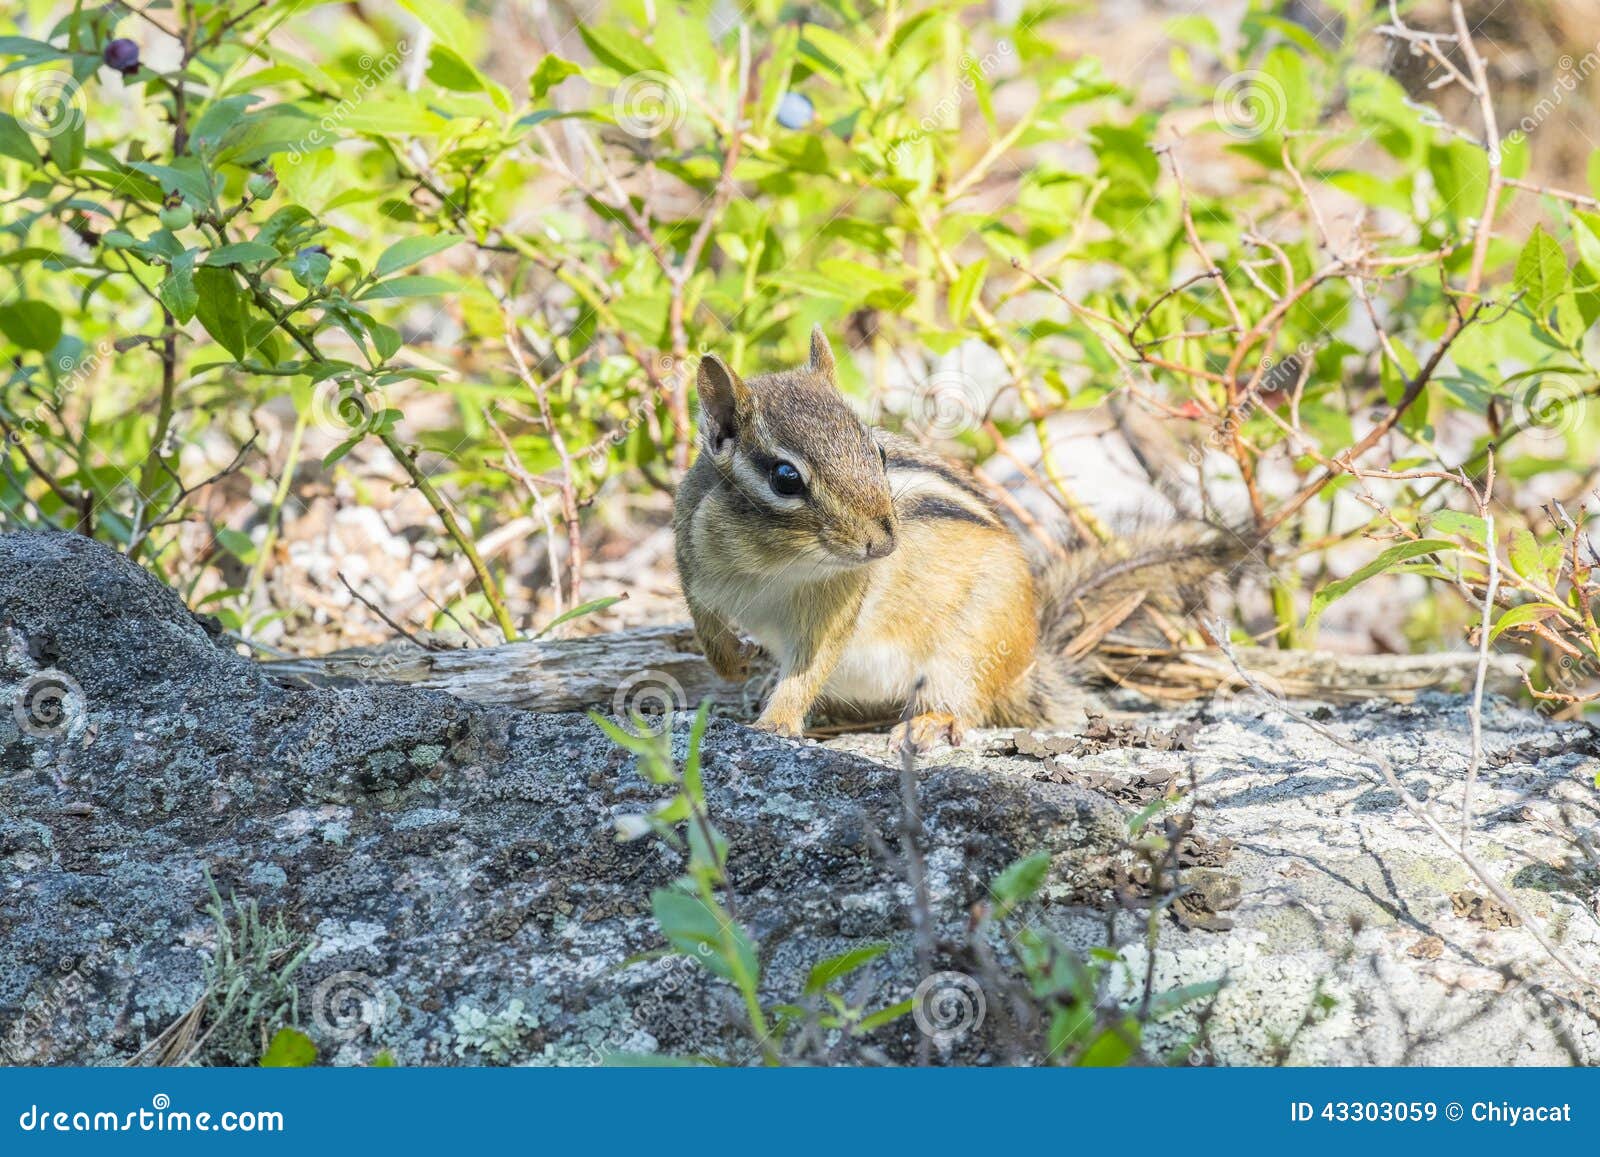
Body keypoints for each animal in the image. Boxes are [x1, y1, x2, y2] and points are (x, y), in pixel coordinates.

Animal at [673, 326, 1238, 750]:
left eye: (878, 452)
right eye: (786, 478)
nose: (884, 545)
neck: (774, 560)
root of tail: (1027, 663)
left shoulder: (837, 605)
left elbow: (810, 666)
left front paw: (777, 720)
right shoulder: (691, 562)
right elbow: (704, 623)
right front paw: (733, 663)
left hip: (966, 653)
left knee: (964, 704)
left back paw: (928, 723)